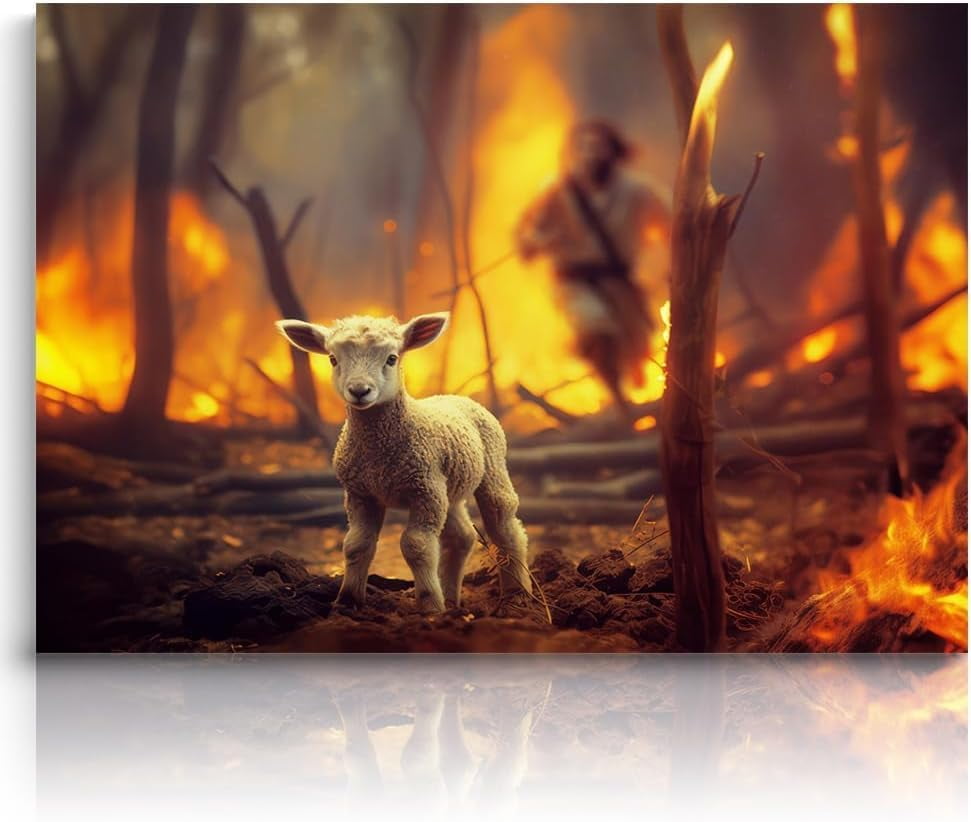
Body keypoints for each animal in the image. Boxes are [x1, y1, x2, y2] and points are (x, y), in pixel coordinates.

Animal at [276, 311, 532, 613]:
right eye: (333, 359)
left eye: (391, 358)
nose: (359, 390)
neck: (379, 454)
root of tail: (457, 397)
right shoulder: (360, 493)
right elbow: (356, 544)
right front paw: (347, 601)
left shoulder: (424, 490)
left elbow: (417, 546)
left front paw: (430, 607)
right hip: (448, 488)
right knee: (461, 536)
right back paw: (451, 599)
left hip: (490, 468)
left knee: (505, 527)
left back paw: (518, 595)